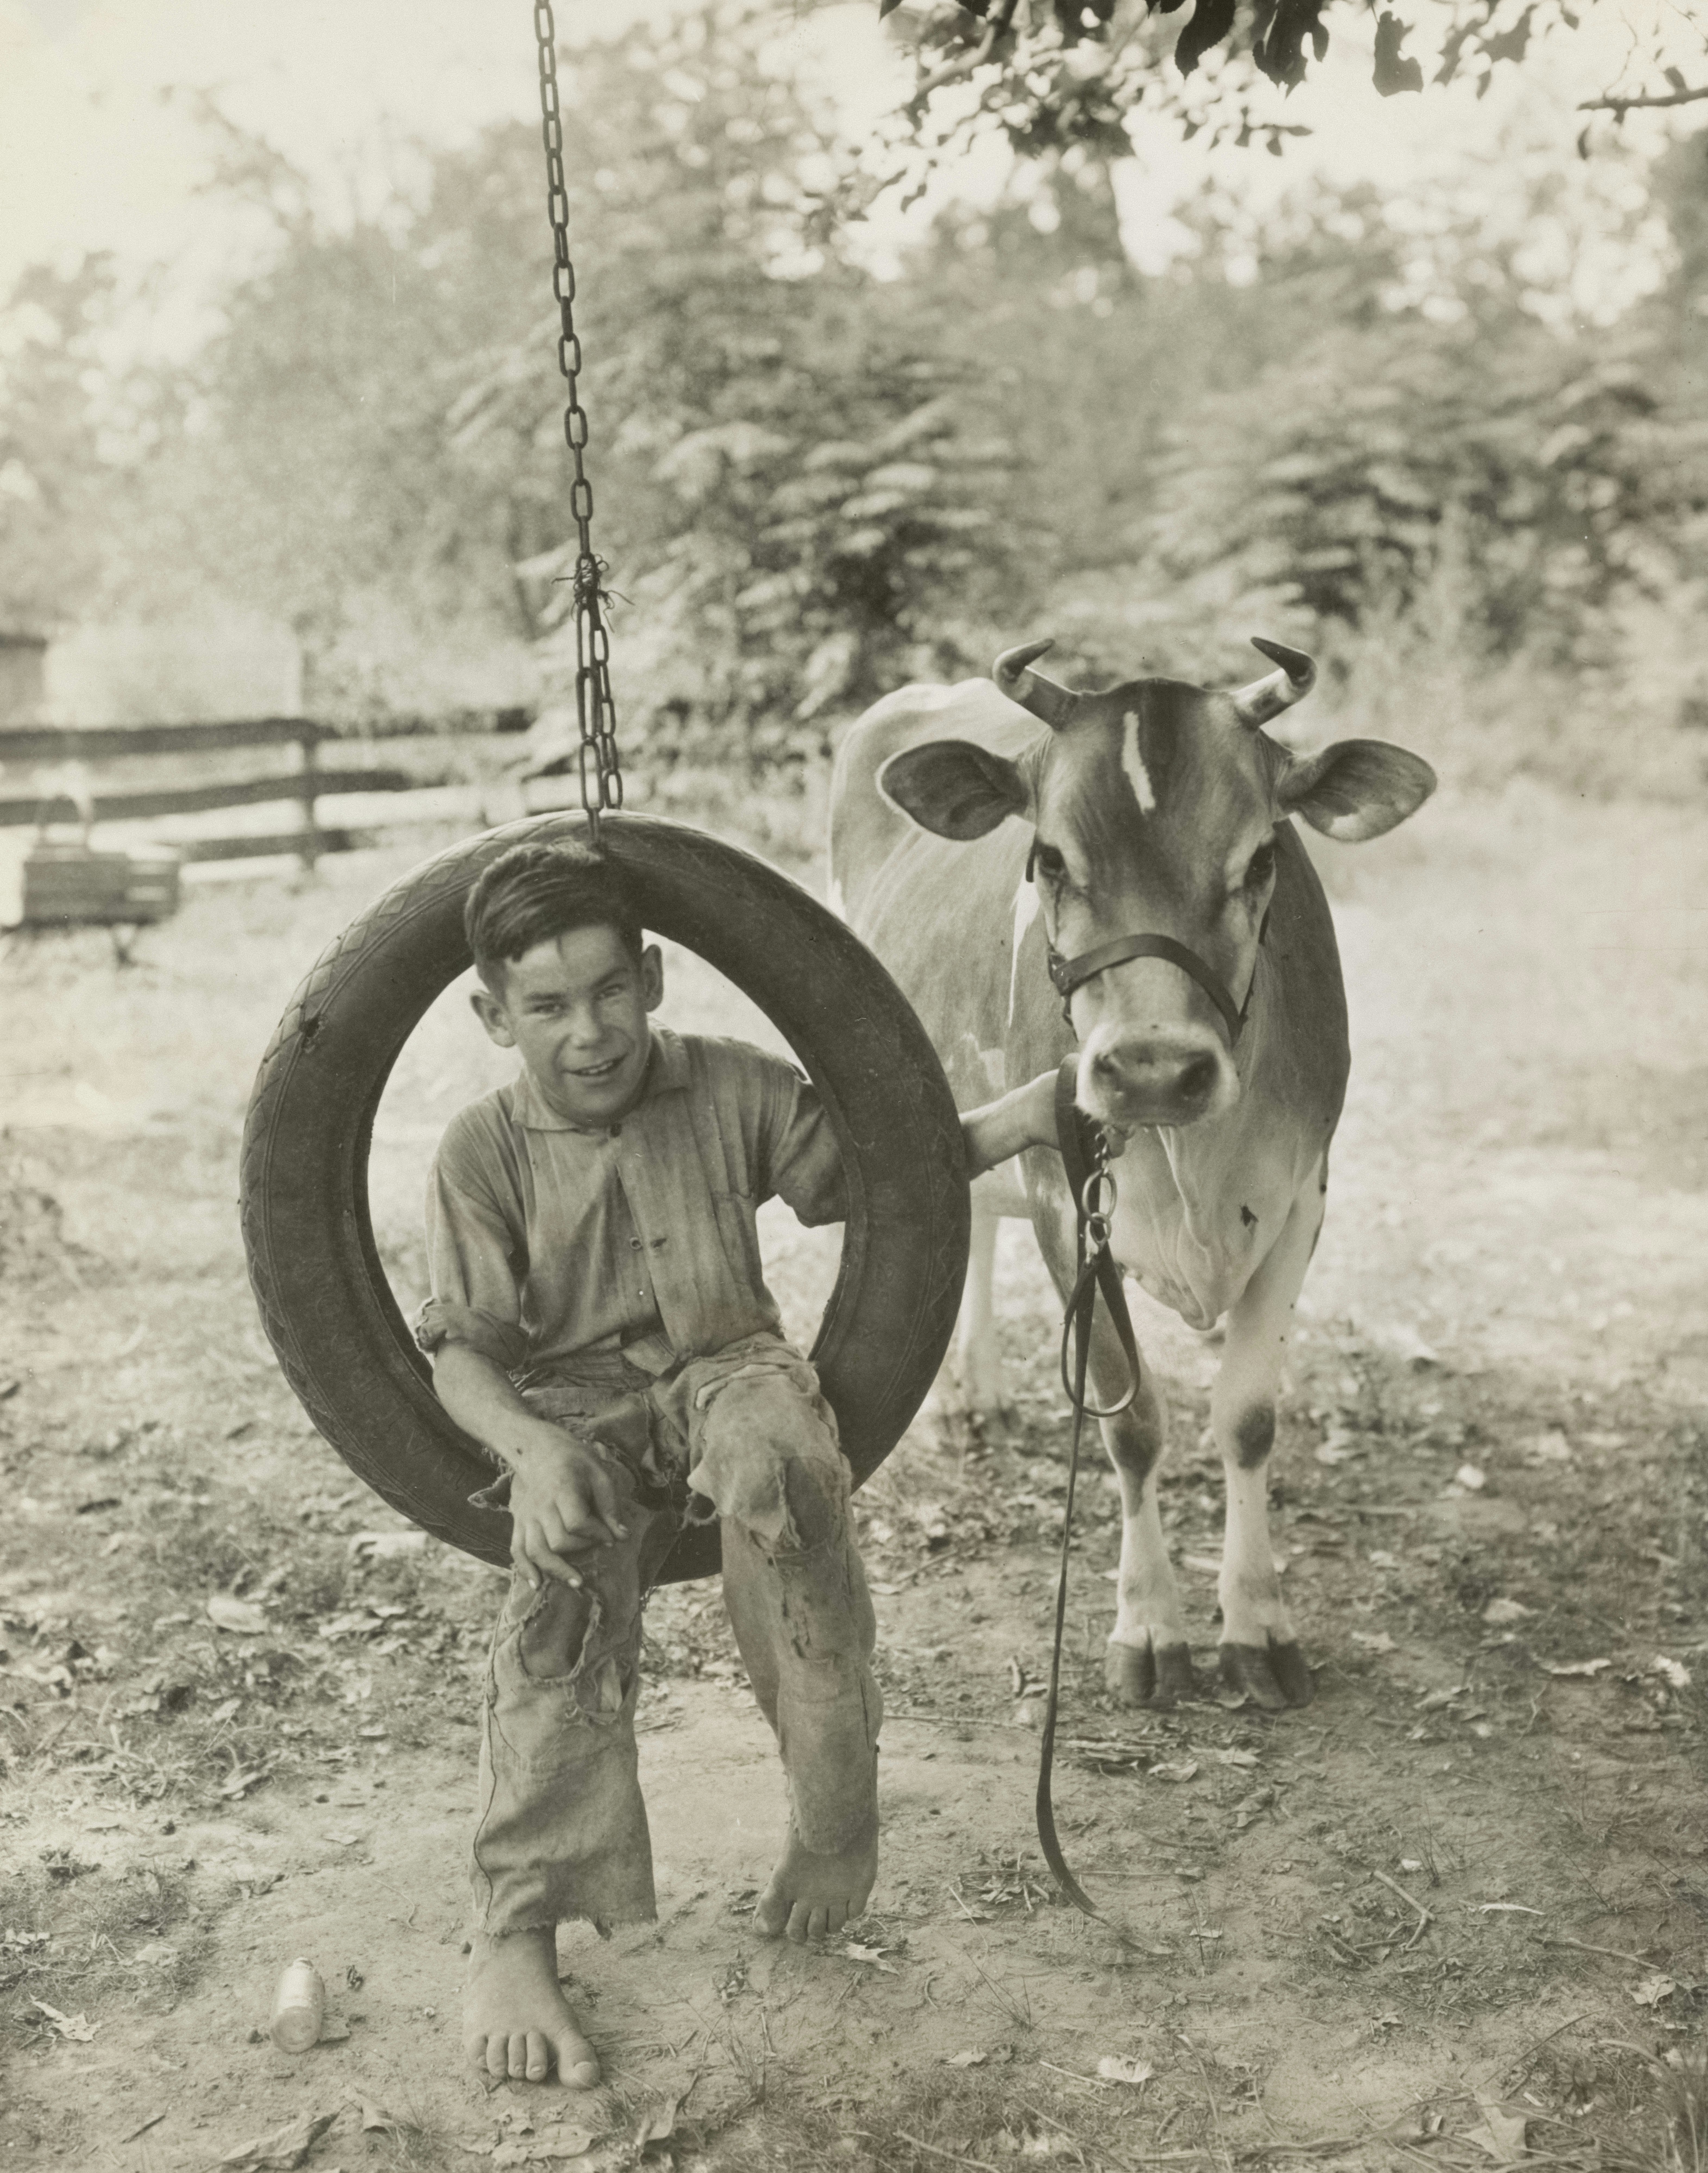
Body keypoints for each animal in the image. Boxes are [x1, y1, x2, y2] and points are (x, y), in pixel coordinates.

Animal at [829, 636, 1435, 1710]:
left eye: (1261, 859)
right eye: (1047, 859)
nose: (1152, 1068)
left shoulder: (1300, 1199)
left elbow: (1246, 1419)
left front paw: (1255, 1623)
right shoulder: (1062, 1196)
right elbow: (1132, 1423)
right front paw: (1149, 1626)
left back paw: (982, 1393)